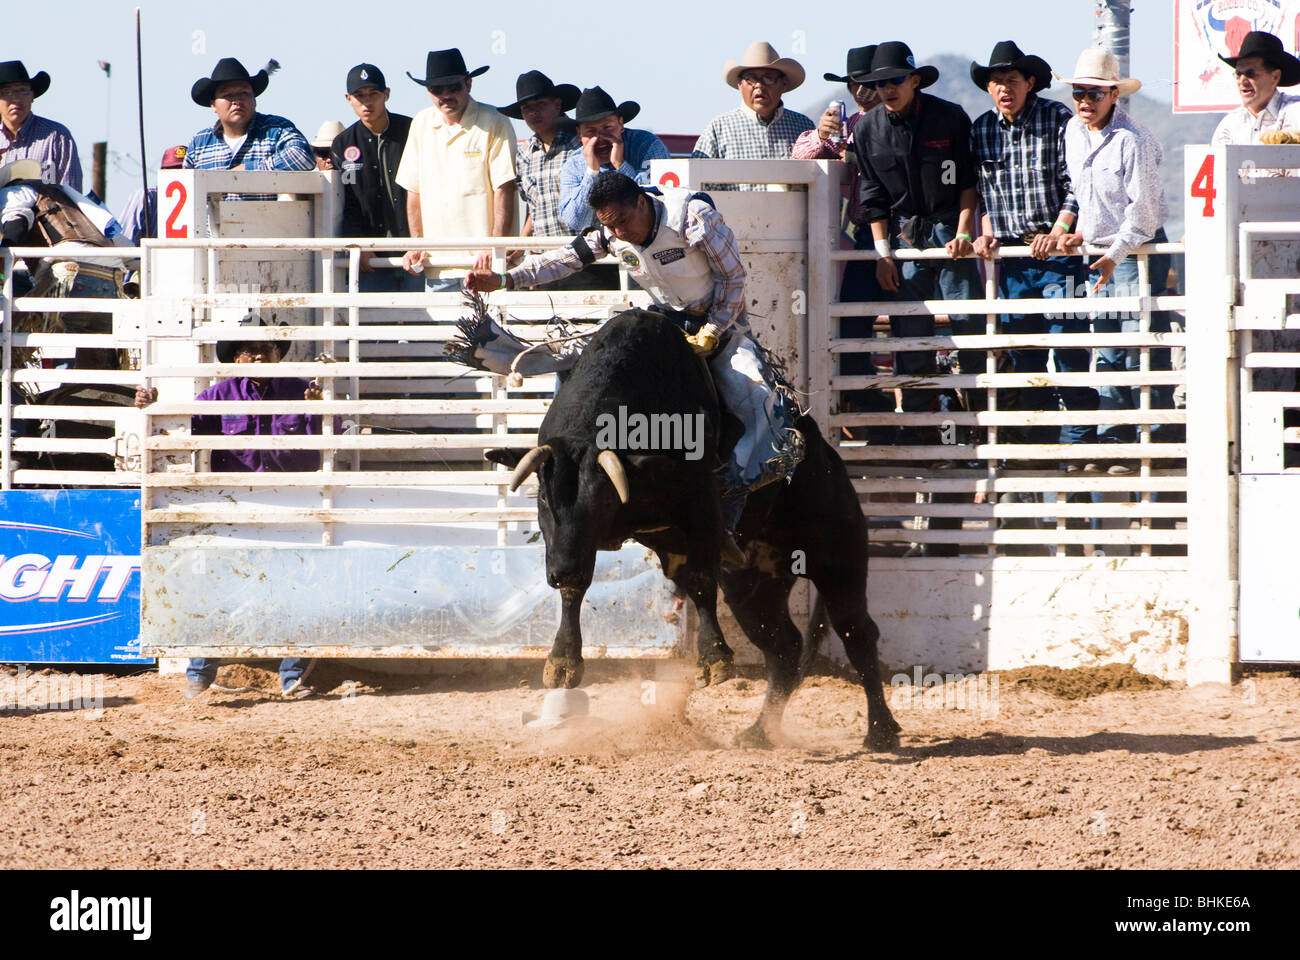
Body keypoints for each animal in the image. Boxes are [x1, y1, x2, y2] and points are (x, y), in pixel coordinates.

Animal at [482, 303, 901, 751]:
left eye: (603, 500)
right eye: (543, 499)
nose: (560, 570)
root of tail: (829, 459)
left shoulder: (699, 503)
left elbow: (700, 580)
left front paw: (713, 661)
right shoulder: (575, 545)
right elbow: (577, 590)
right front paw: (562, 662)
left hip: (837, 555)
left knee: (856, 632)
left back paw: (880, 730)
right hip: (753, 584)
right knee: (784, 648)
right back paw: (758, 732)